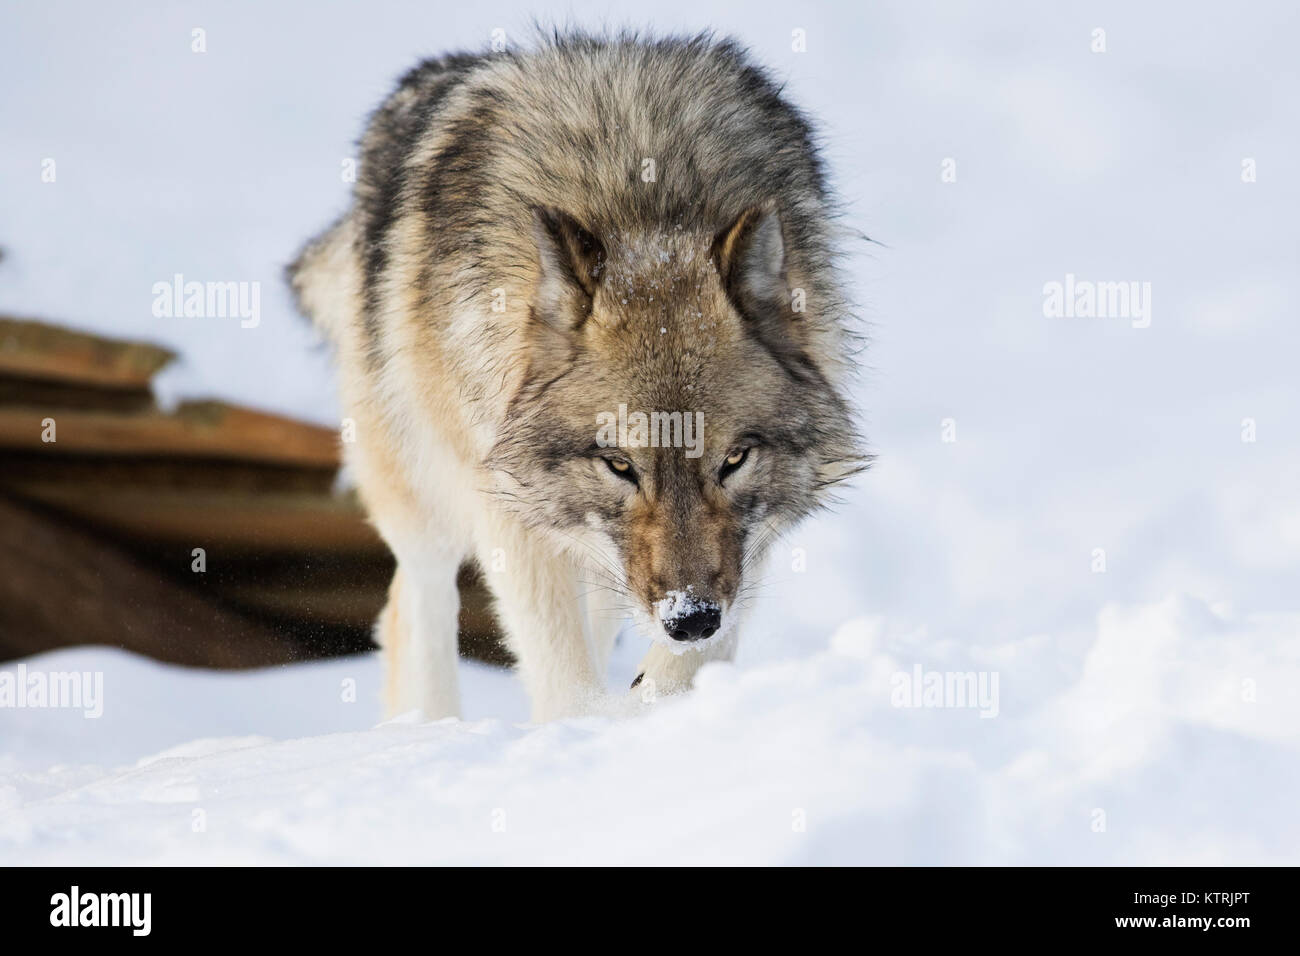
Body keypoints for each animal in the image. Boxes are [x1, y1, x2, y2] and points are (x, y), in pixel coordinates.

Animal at [289, 31, 864, 721]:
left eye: (733, 460)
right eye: (620, 465)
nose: (691, 618)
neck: (645, 207)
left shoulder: (752, 537)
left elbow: (681, 668)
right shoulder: (509, 504)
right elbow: (565, 684)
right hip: (420, 483)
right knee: (414, 598)